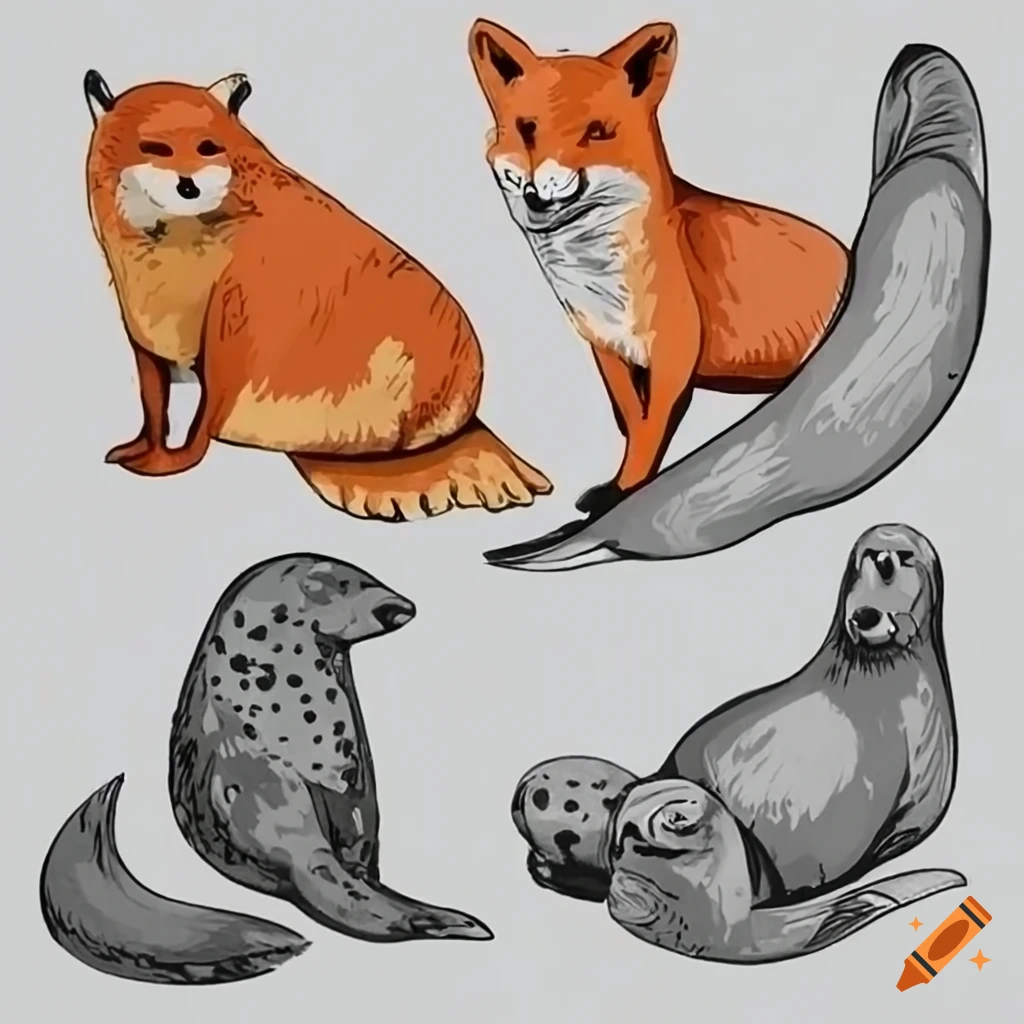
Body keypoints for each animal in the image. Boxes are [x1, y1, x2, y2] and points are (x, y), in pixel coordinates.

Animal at [83, 69, 551, 521]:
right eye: (155, 148)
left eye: (207, 147)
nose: (187, 186)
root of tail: (461, 422)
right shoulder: (143, 338)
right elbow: (153, 409)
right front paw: (144, 451)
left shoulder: (234, 330)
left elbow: (201, 425)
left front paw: (173, 463)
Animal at [468, 20, 850, 517]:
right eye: (527, 129)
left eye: (597, 132)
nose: (537, 192)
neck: (600, 279)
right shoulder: (608, 348)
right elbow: (633, 419)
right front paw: (620, 481)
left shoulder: (674, 353)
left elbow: (651, 428)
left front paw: (624, 491)